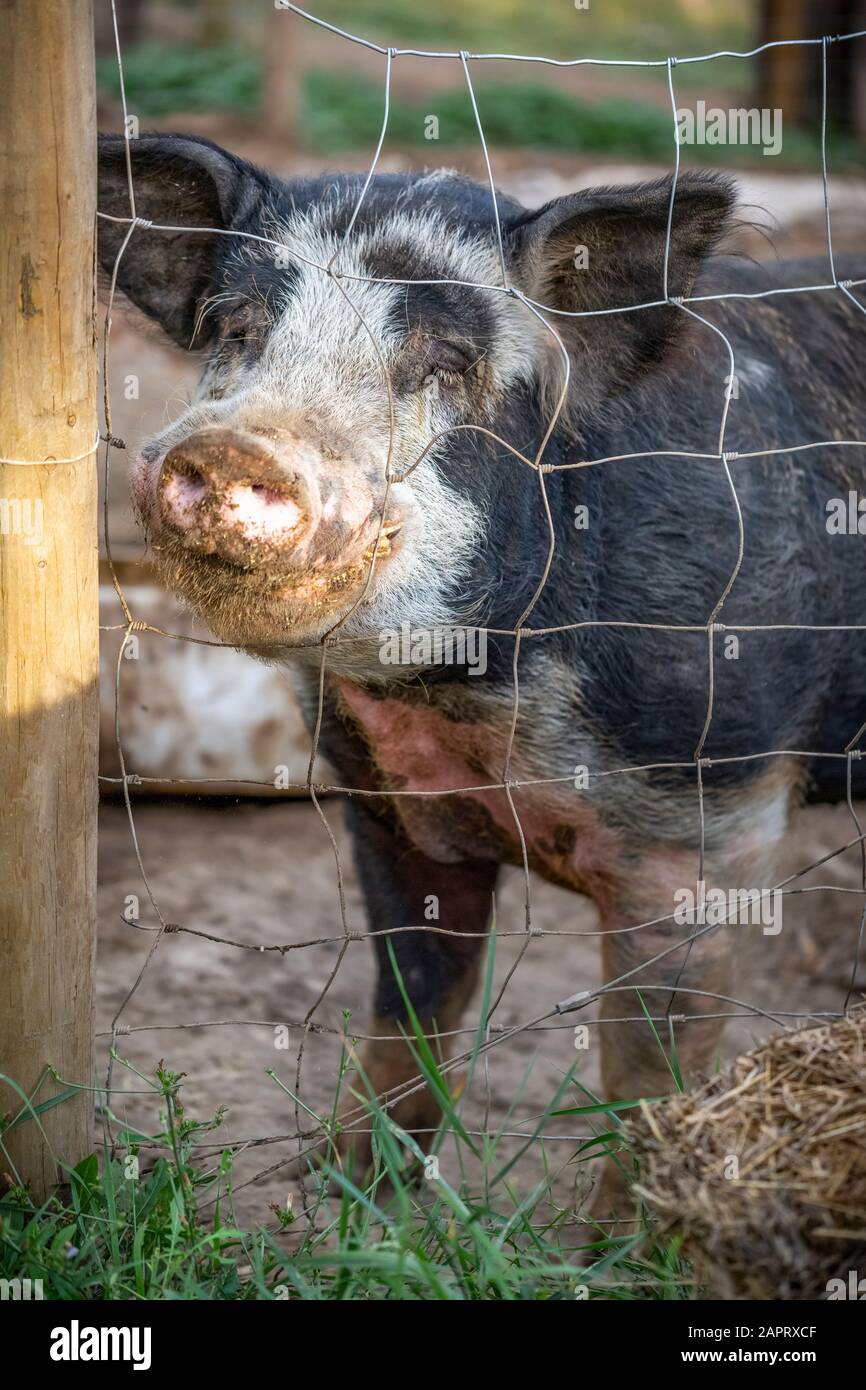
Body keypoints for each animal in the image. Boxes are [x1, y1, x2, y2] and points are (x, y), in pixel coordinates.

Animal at [98, 134, 866, 1205]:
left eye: (446, 363)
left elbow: (647, 1071)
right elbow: (414, 1003)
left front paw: (623, 1231)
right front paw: (350, 1192)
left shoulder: (712, 818)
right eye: (235, 327)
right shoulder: (382, 802)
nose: (235, 445)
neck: (470, 696)